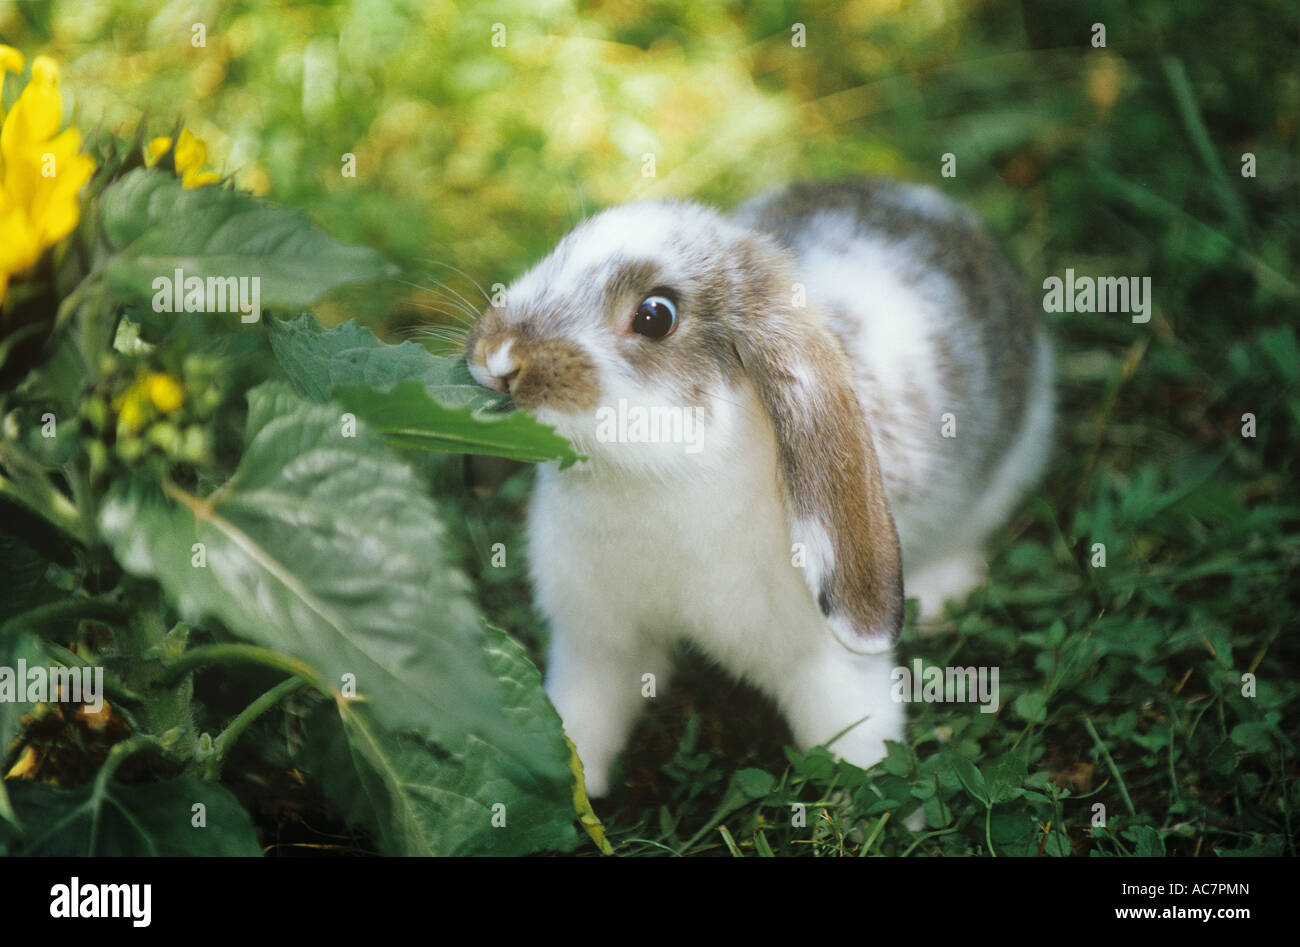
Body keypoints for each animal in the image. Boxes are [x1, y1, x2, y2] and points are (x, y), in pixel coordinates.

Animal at [464, 177, 1054, 798]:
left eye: (655, 315)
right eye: (559, 251)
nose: (499, 358)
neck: (651, 483)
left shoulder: (826, 664)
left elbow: (859, 743)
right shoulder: (595, 647)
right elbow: (582, 723)